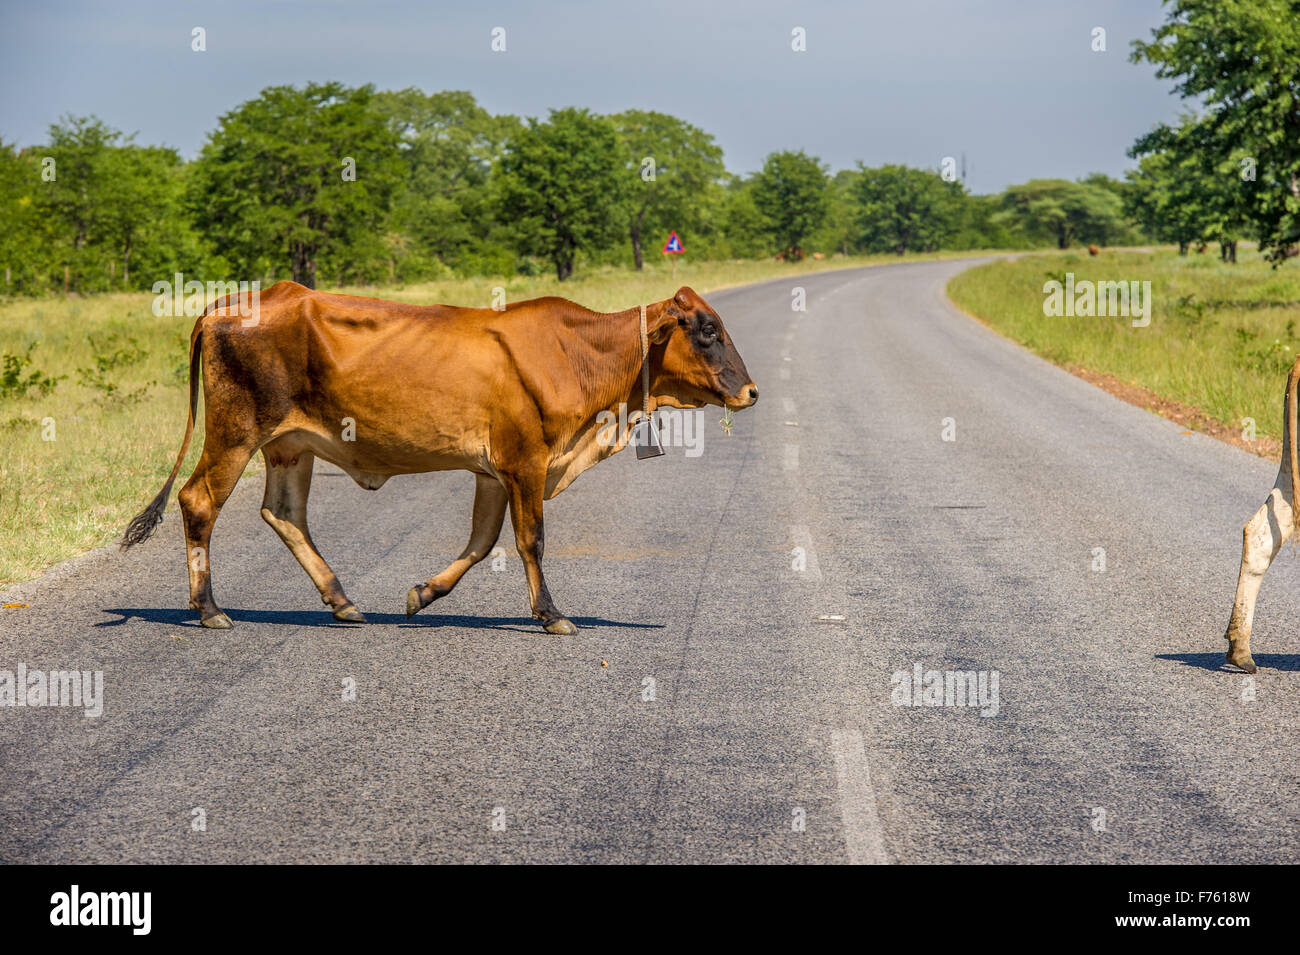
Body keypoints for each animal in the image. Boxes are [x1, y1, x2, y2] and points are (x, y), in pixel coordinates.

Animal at [120, 282, 758, 634]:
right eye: (706, 331)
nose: (751, 392)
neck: (580, 356)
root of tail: (230, 303)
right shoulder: (525, 463)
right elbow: (530, 541)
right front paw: (551, 615)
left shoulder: (493, 471)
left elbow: (480, 543)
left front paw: (423, 593)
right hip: (236, 433)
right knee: (199, 501)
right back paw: (208, 608)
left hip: (288, 446)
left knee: (283, 514)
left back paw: (343, 601)